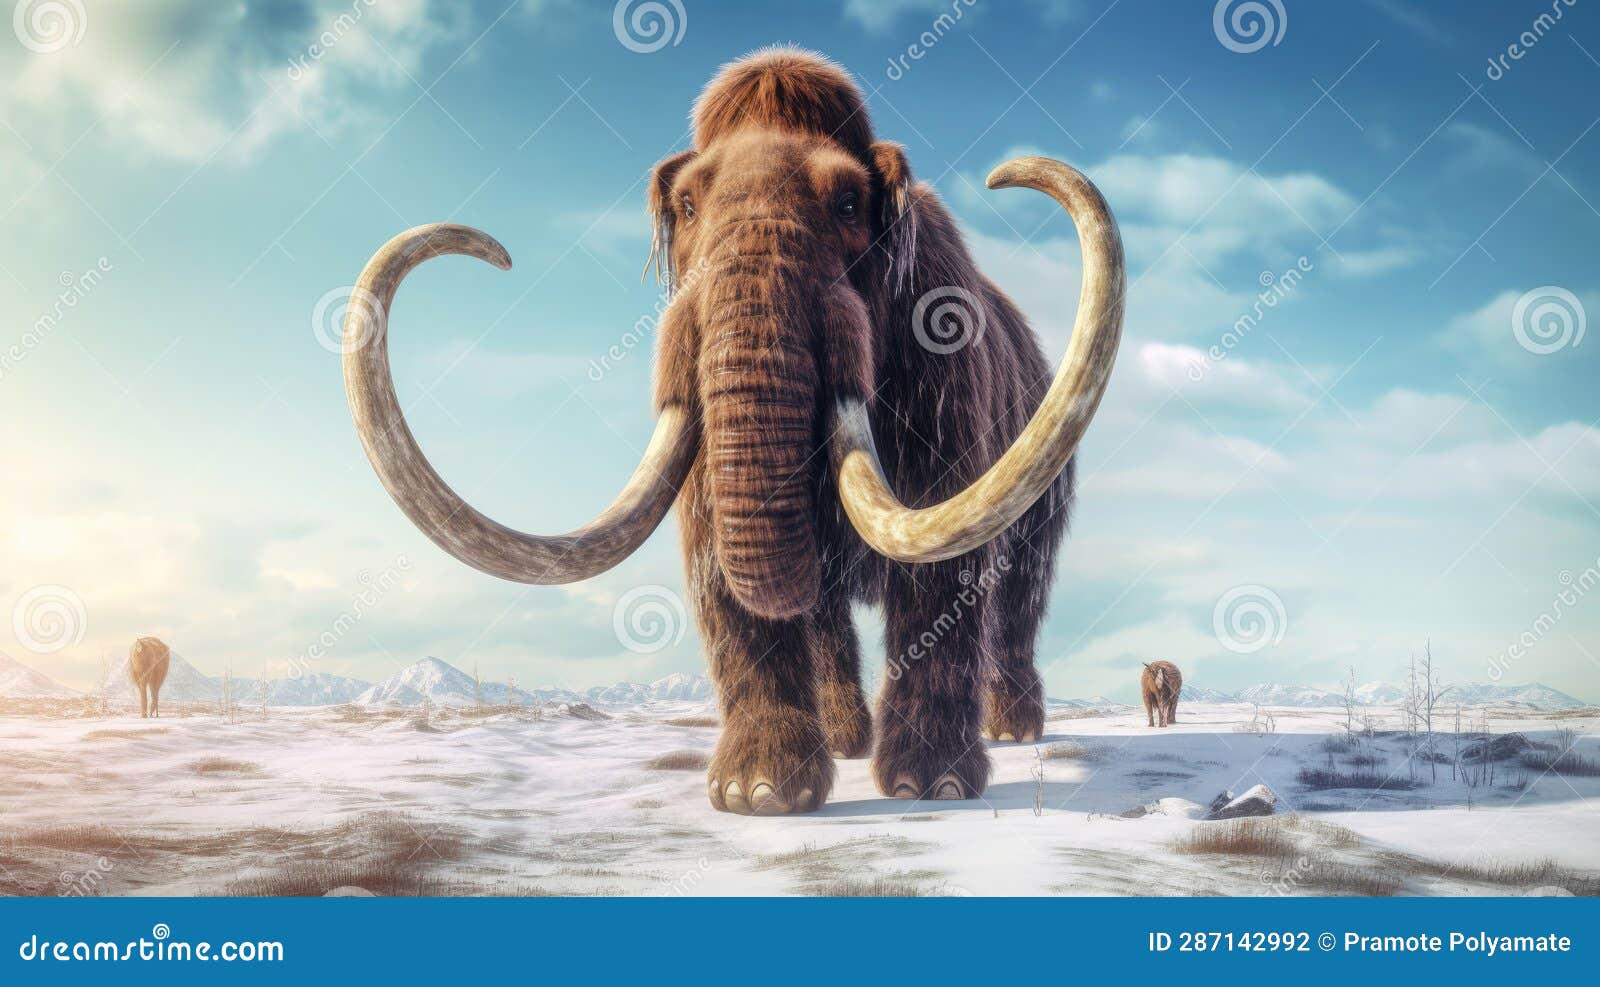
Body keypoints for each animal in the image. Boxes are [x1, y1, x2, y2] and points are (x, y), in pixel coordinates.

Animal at [341, 48, 1124, 814]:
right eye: (687, 204)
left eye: (847, 202)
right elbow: (715, 558)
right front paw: (760, 794)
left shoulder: (944, 369)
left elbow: (939, 572)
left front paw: (930, 786)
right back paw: (847, 741)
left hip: (1048, 493)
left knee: (1021, 588)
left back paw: (1011, 728)